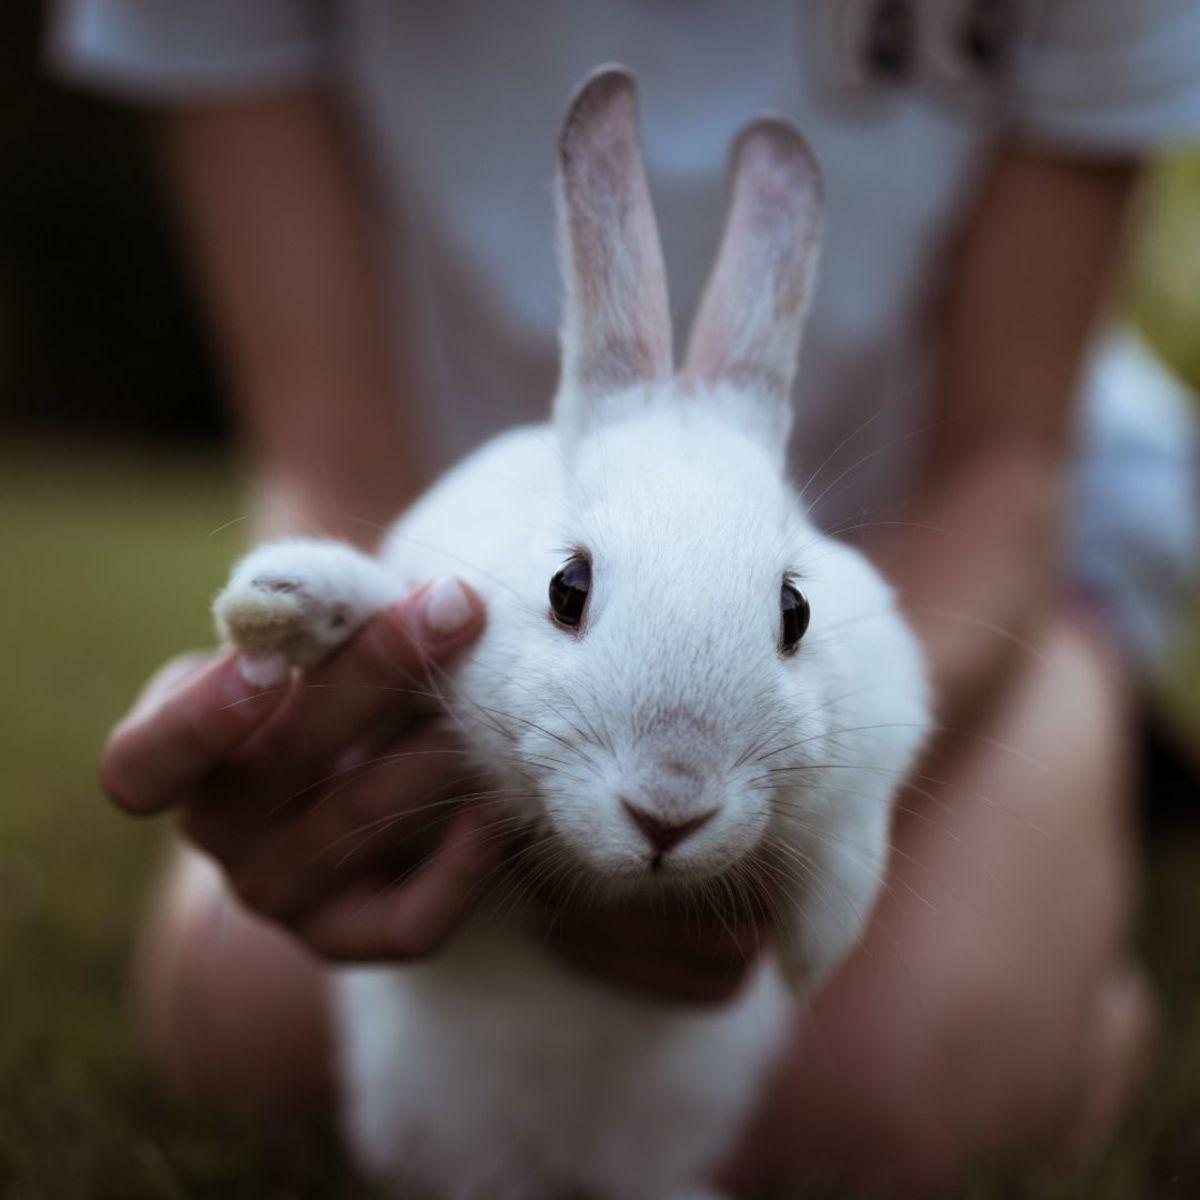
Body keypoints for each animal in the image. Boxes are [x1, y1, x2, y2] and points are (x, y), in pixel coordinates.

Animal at [213, 65, 930, 1200]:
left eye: (795, 611)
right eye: (565, 588)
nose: (669, 809)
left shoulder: (885, 717)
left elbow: (853, 839)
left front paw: (815, 952)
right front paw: (283, 600)